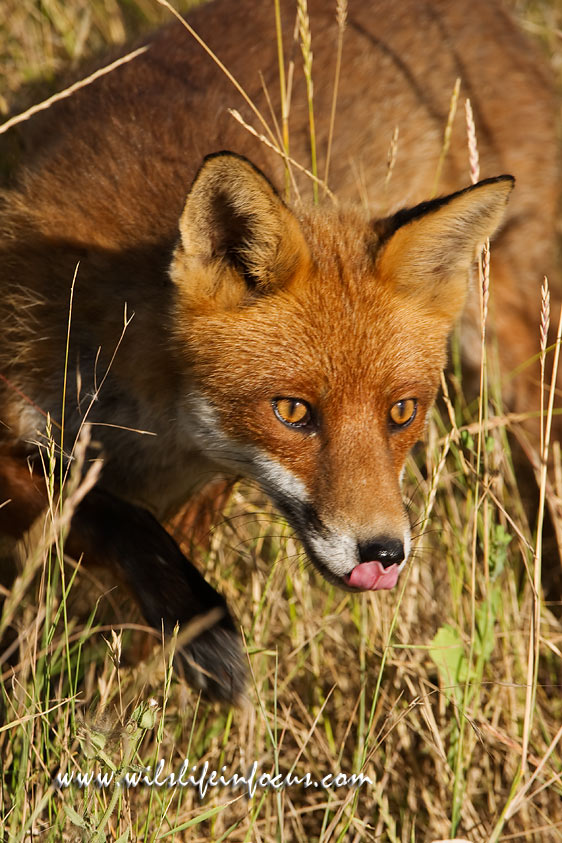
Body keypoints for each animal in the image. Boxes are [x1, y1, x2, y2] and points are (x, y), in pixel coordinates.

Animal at [0, 0, 558, 701]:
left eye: (401, 413)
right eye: (292, 412)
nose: (384, 553)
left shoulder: (204, 481)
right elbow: (115, 519)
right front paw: (197, 625)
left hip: (506, 344)